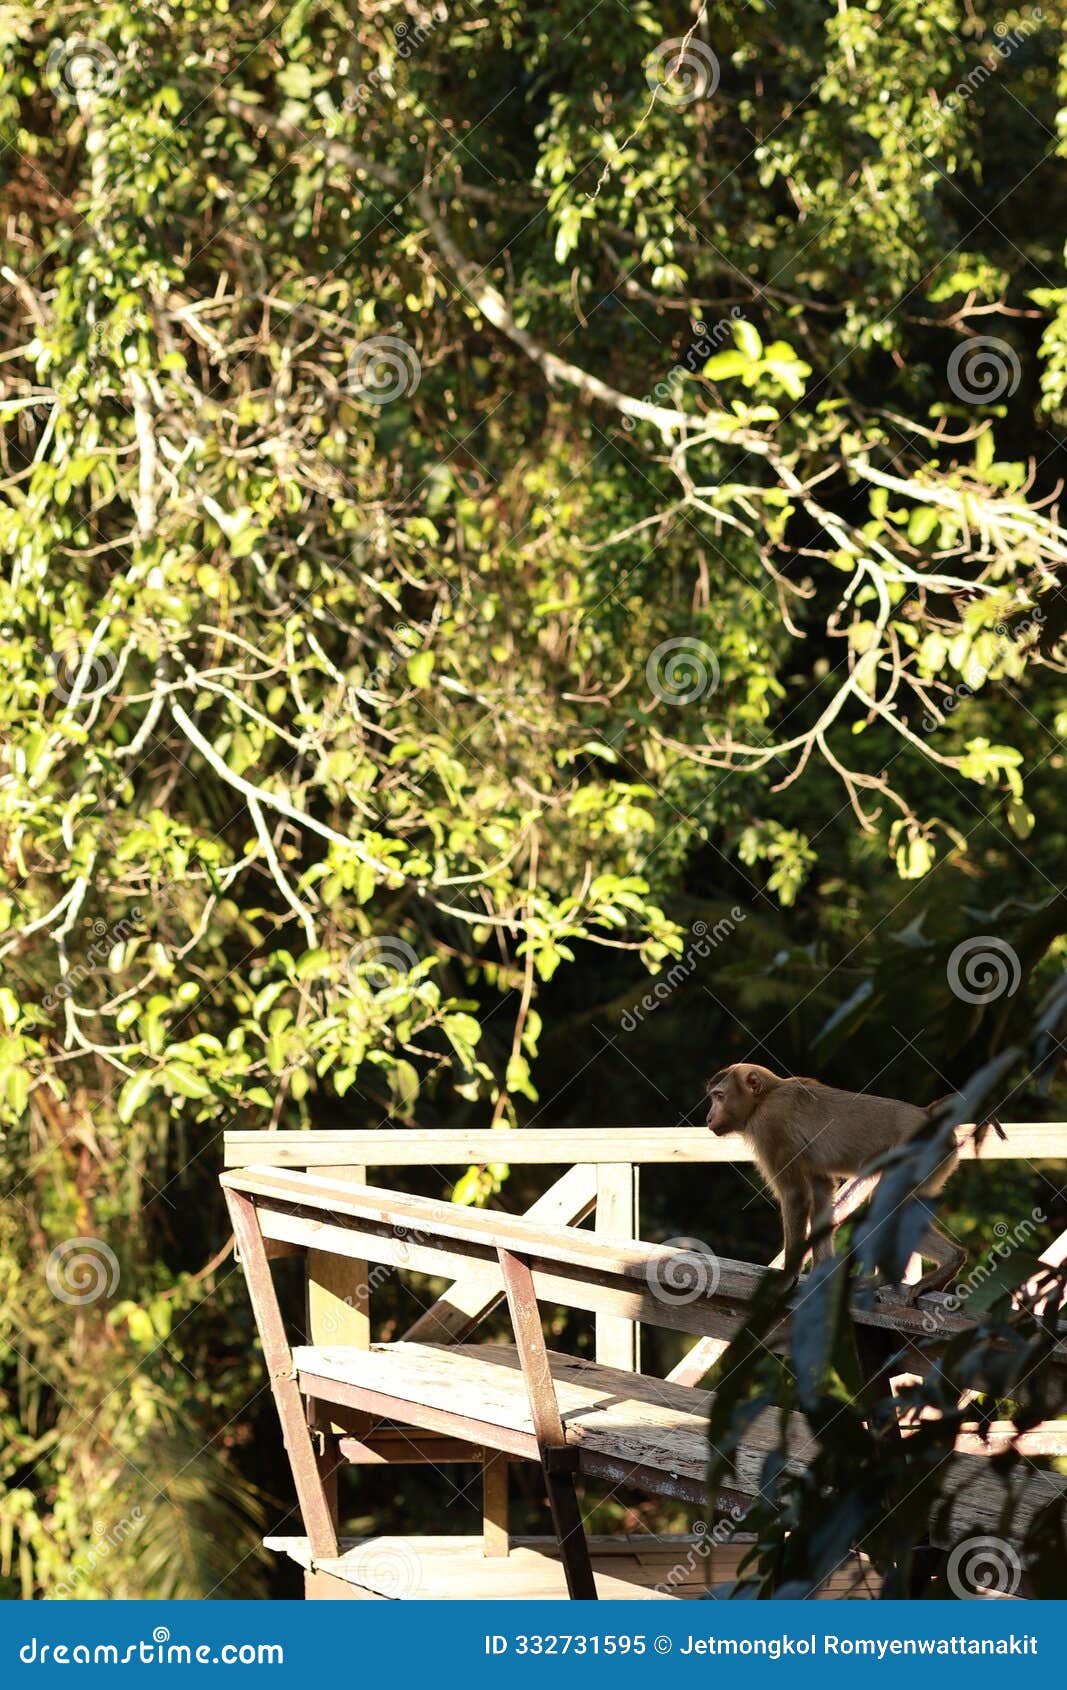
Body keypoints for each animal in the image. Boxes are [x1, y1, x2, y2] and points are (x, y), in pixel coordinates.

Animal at [704, 1062, 996, 1297]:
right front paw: (821, 1271)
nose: (708, 1117)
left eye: (719, 1096)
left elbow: (795, 1195)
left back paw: (886, 1278)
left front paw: (788, 1276)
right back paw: (950, 1261)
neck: (765, 1097)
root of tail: (928, 1114)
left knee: (888, 1204)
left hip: (920, 1153)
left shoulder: (770, 1125)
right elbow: (821, 1192)